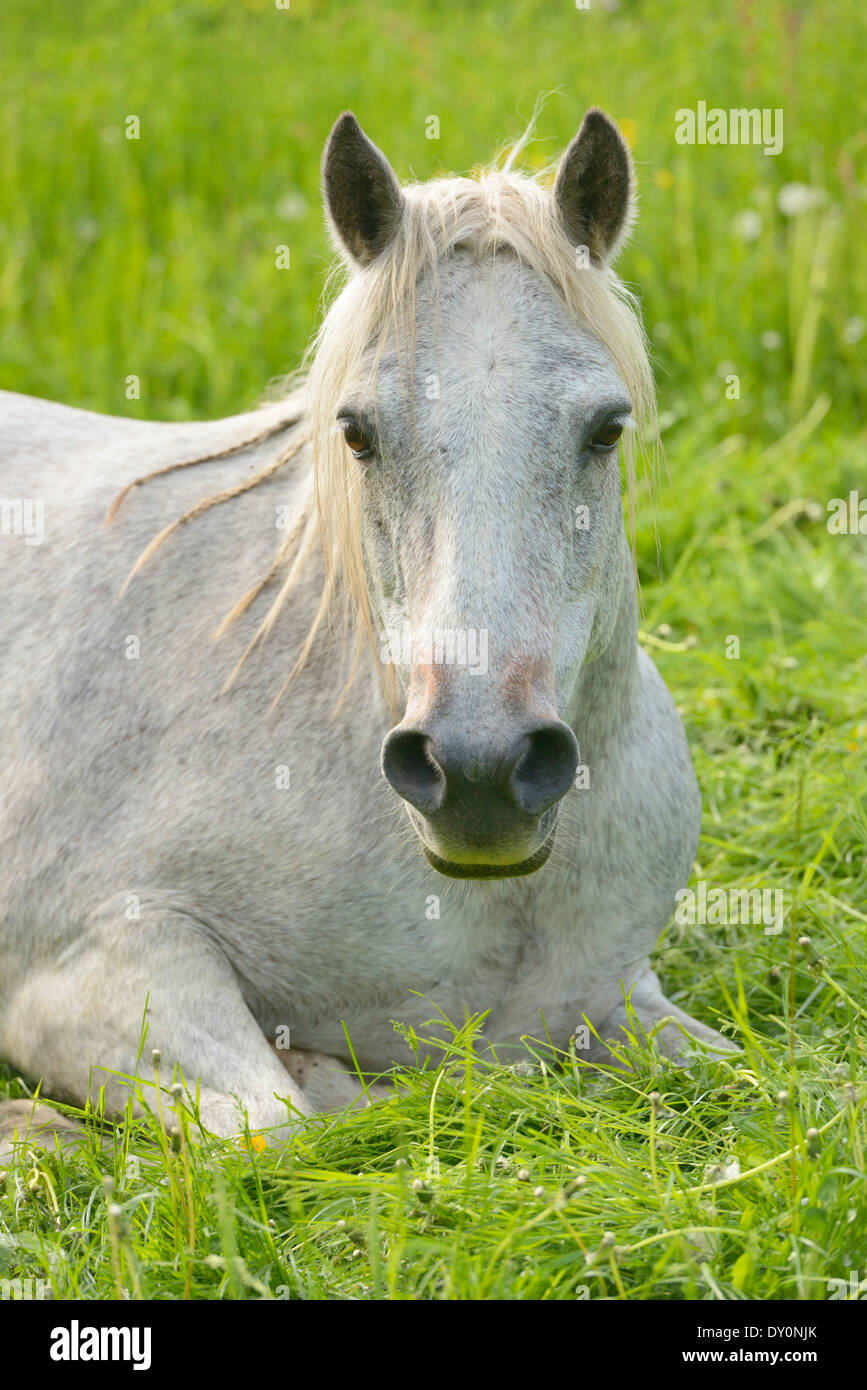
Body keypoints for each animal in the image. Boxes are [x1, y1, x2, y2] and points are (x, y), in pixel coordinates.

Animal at [0, 108, 734, 1155]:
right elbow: (286, 1128)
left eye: (605, 429)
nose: (479, 771)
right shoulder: (90, 972)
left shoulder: (618, 996)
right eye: (356, 433)